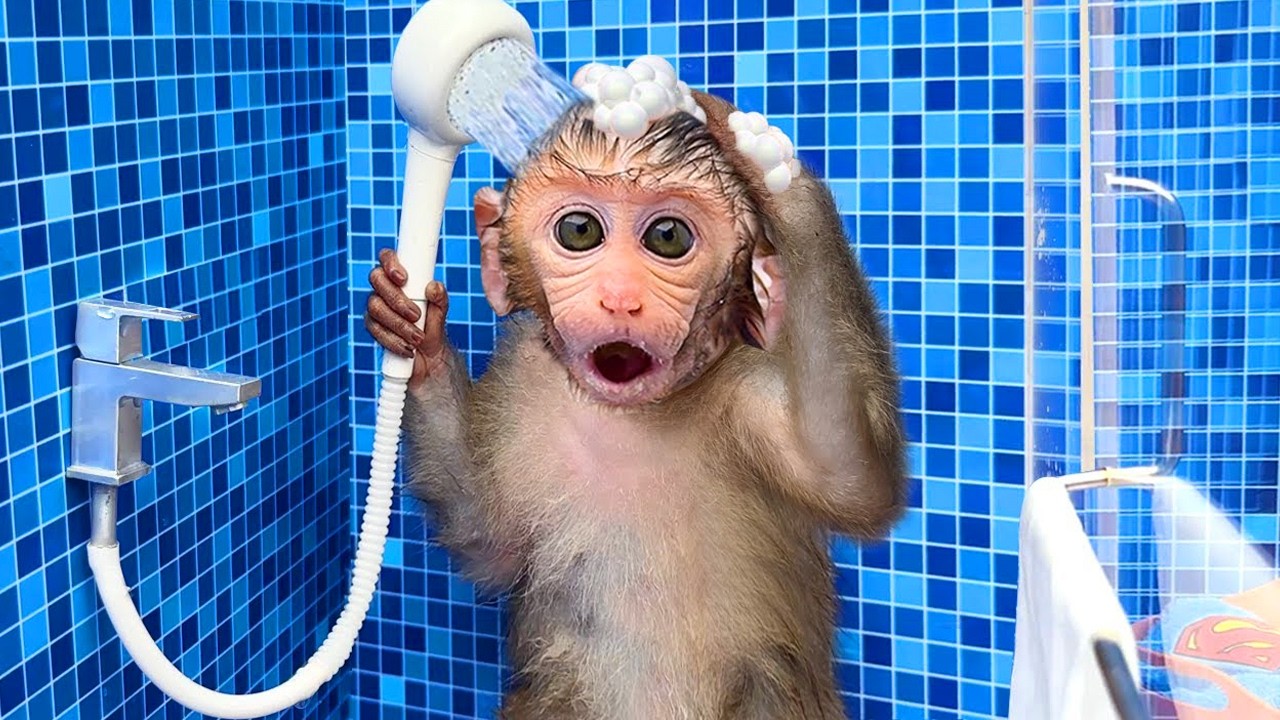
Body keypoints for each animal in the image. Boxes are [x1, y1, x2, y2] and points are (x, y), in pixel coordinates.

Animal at [364, 86, 908, 719]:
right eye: (579, 231)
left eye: (668, 237)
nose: (620, 298)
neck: (627, 415)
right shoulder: (524, 380)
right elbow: (489, 537)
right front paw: (417, 335)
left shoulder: (746, 390)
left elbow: (845, 475)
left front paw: (780, 182)